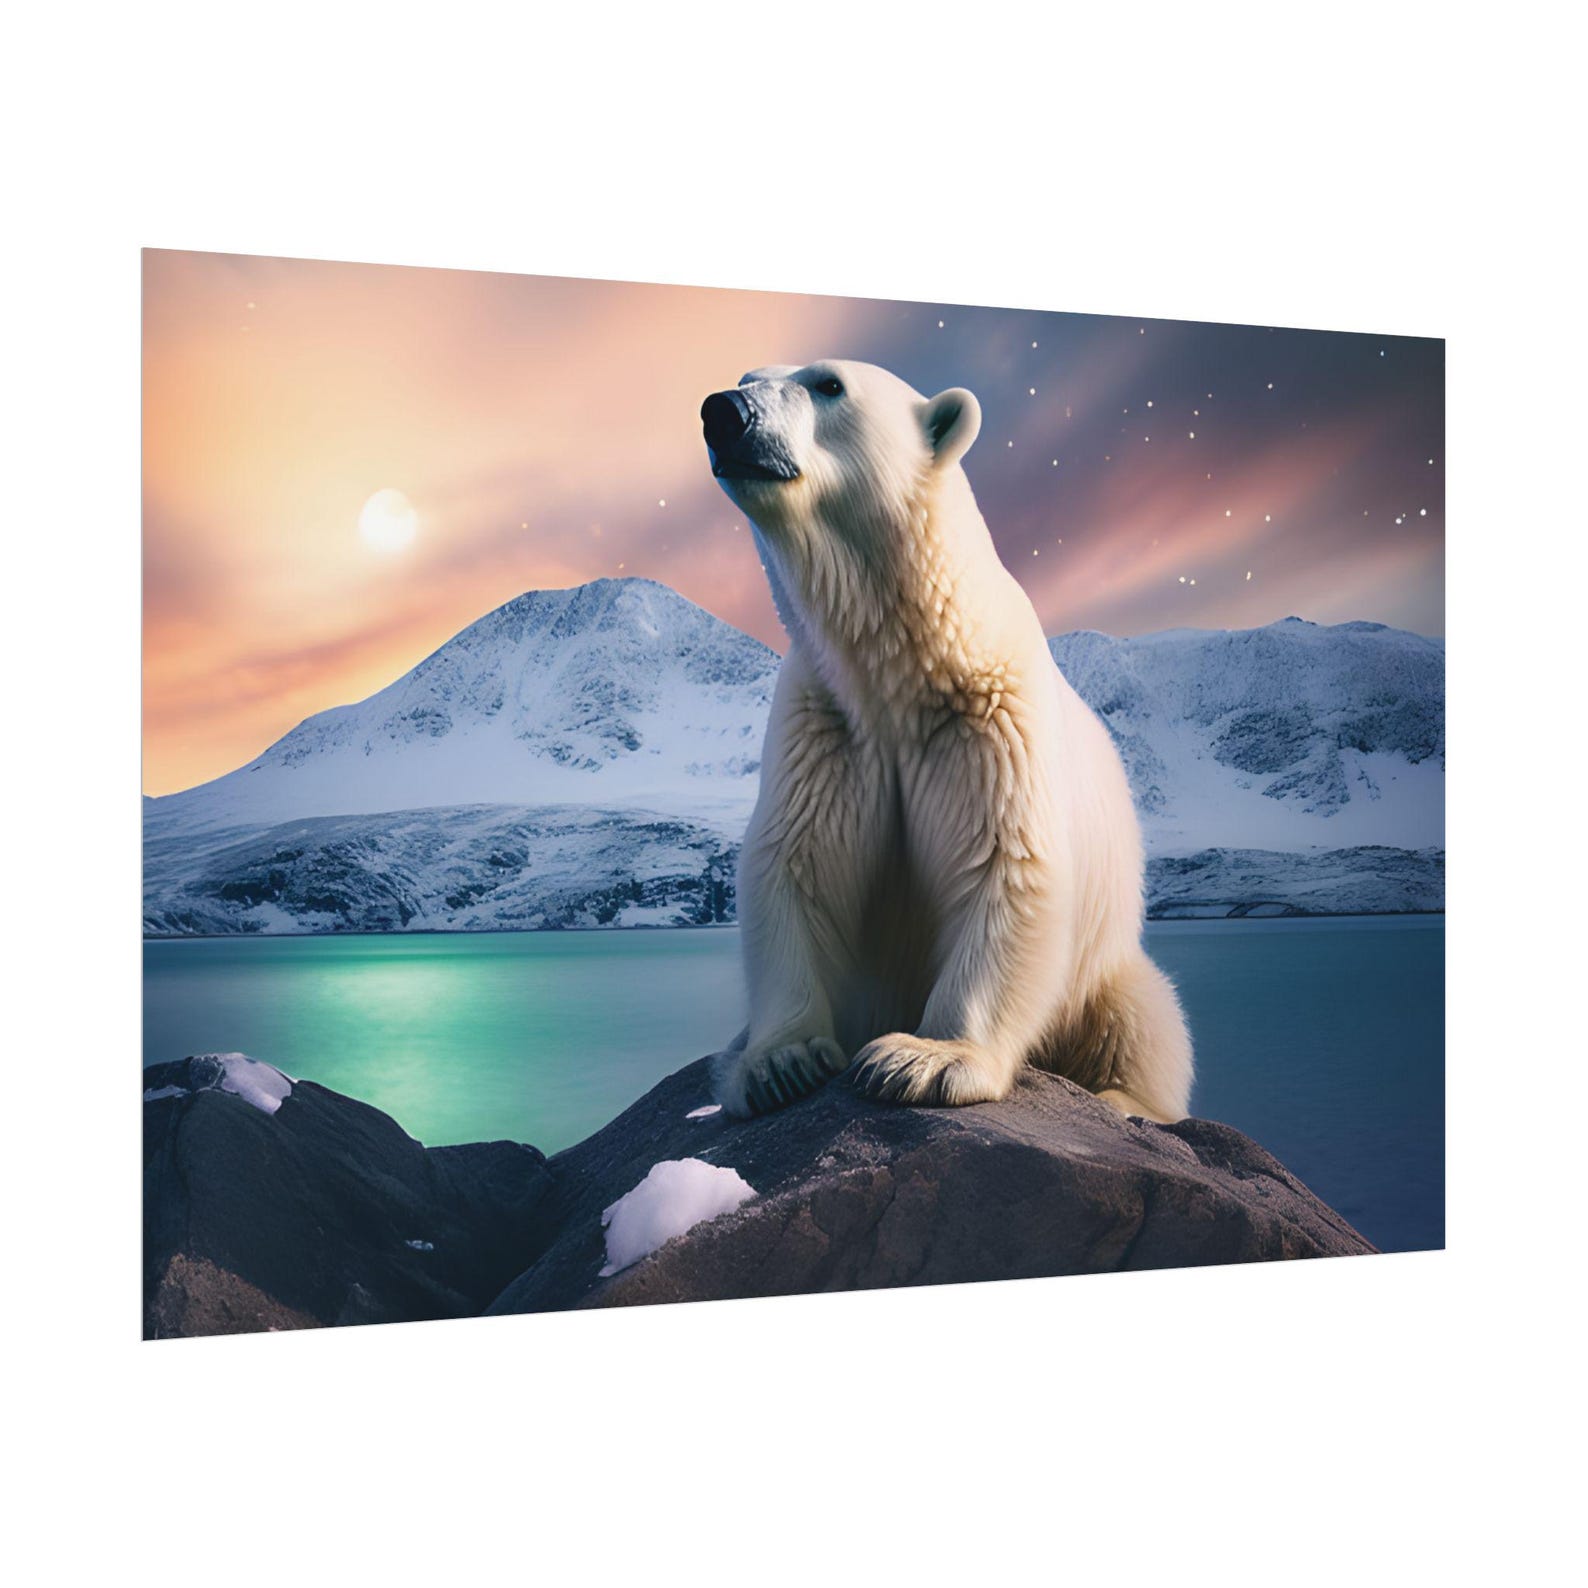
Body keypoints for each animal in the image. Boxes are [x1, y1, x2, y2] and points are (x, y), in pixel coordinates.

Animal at [699, 359, 1193, 1122]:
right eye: (750, 375)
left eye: (828, 384)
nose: (723, 411)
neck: (901, 667)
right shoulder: (827, 726)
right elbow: (795, 863)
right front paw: (781, 1062)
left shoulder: (991, 721)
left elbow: (1007, 864)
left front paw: (923, 1059)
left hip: (1109, 970)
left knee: (1144, 1018)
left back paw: (1123, 1098)